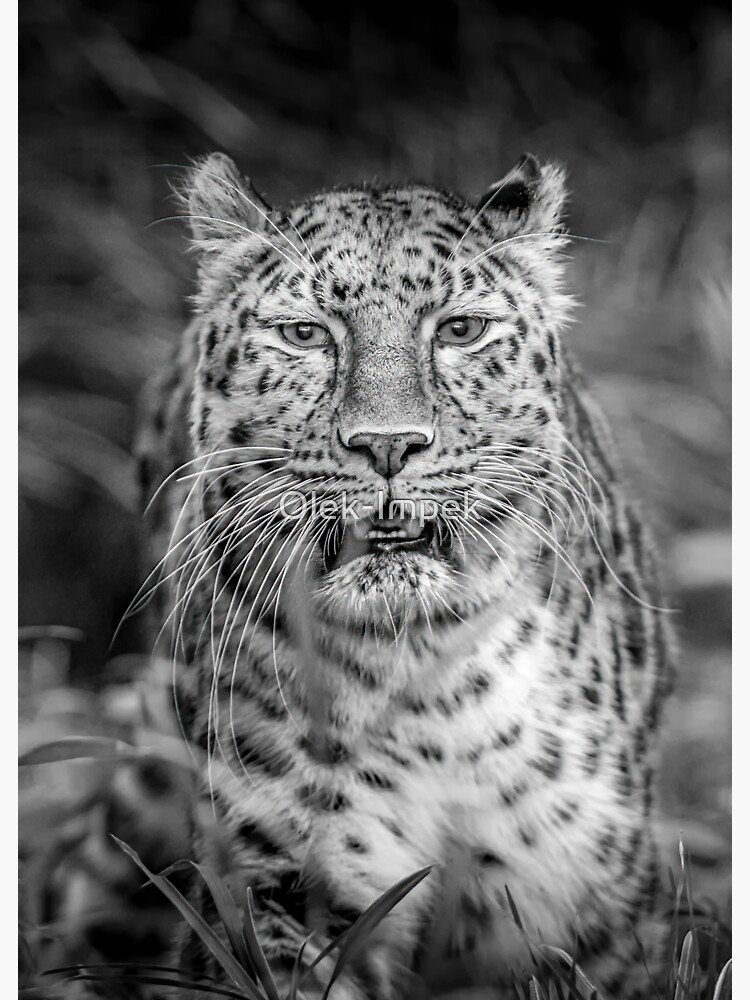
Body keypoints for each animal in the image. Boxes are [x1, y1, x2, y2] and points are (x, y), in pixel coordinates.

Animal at [132, 150, 675, 998]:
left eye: (460, 330)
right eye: (305, 334)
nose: (388, 444)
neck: (431, 677)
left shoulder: (587, 909)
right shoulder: (282, 884)